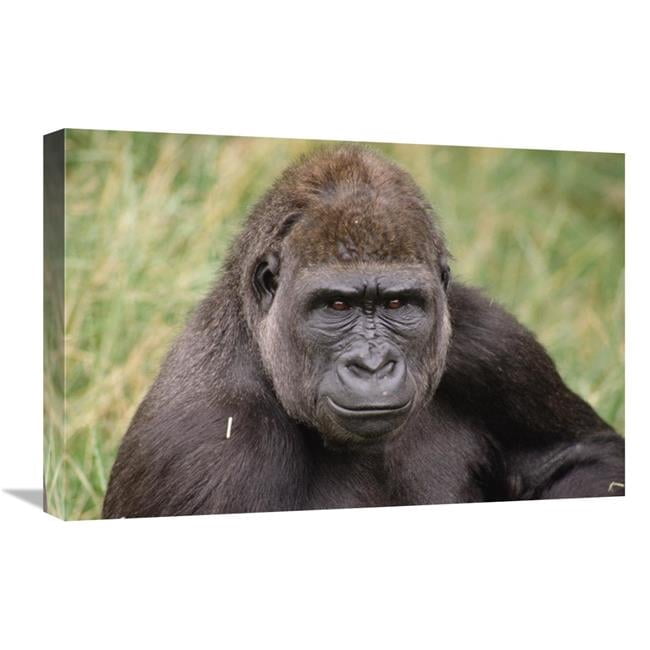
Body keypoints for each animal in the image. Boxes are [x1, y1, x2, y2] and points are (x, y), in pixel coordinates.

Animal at [102, 146, 624, 518]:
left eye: (396, 303)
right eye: (337, 305)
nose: (372, 365)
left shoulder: (493, 341)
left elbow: (592, 457)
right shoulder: (210, 446)